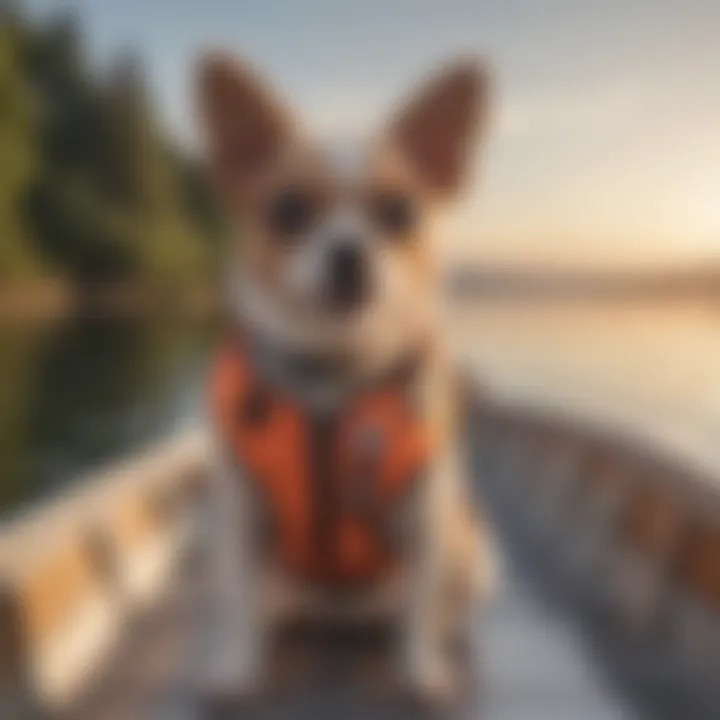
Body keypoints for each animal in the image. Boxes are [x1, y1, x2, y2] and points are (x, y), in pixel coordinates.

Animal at [198, 53, 500, 704]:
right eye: (288, 211)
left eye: (400, 212)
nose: (349, 252)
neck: (333, 377)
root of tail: (343, 616)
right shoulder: (240, 519)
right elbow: (237, 606)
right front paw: (235, 668)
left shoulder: (425, 517)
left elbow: (420, 612)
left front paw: (422, 673)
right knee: (266, 606)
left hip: (464, 546)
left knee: (433, 605)